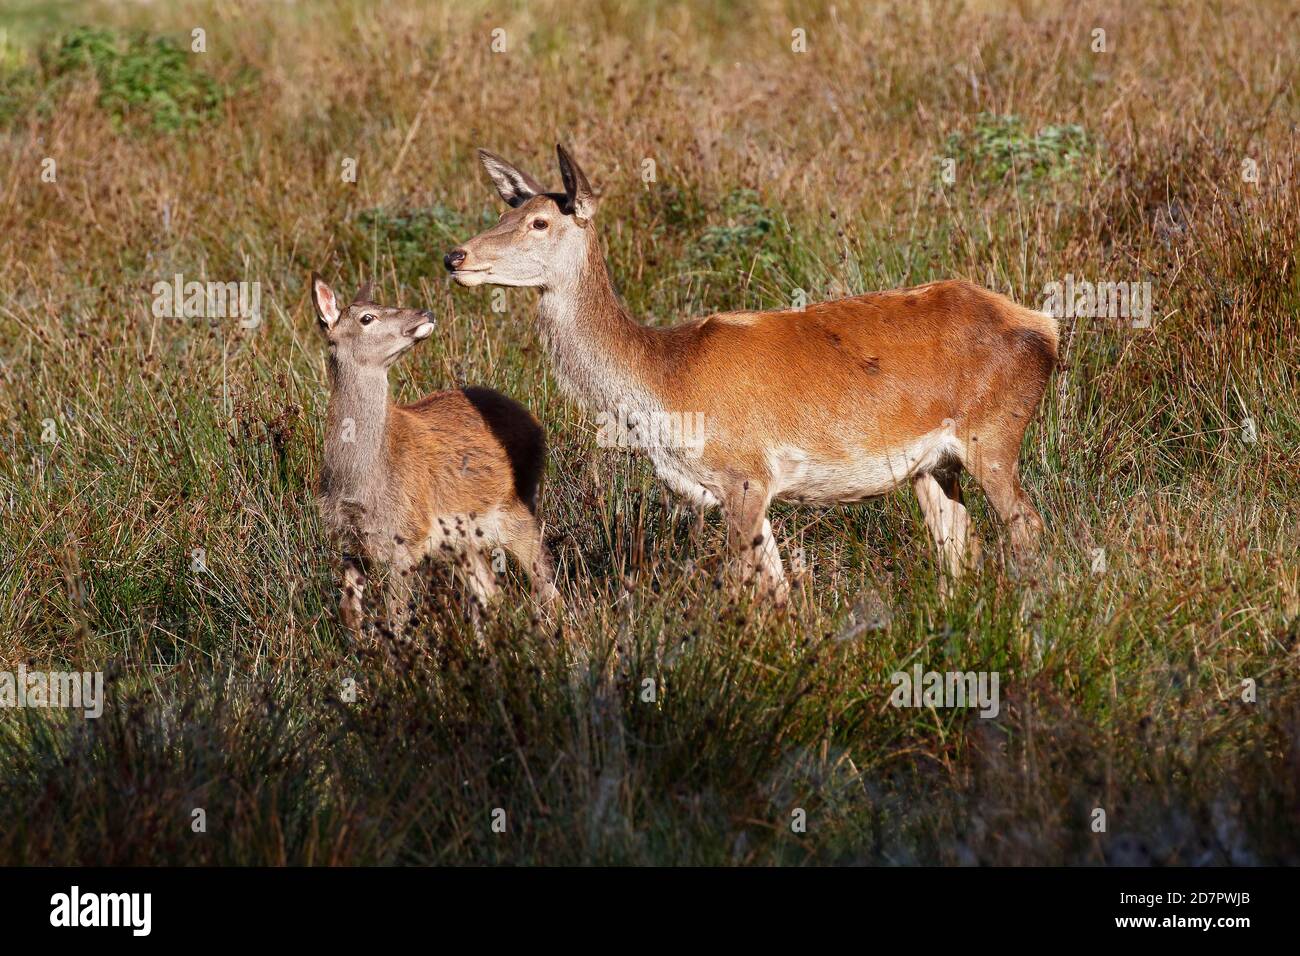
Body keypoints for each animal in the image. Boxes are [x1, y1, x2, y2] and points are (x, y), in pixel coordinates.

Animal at [310, 274, 560, 640]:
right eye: (367, 318)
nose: (424, 313)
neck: (359, 479)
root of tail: (535, 422)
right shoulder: (348, 540)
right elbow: (349, 612)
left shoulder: (408, 537)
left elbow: (397, 617)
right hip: (462, 538)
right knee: (489, 591)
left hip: (515, 507)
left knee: (545, 580)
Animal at [444, 146, 1058, 606]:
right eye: (502, 213)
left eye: (539, 222)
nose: (456, 256)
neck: (664, 384)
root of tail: (1046, 328)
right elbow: (779, 588)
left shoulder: (745, 474)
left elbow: (747, 587)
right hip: (933, 465)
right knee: (959, 545)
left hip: (993, 433)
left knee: (1027, 526)